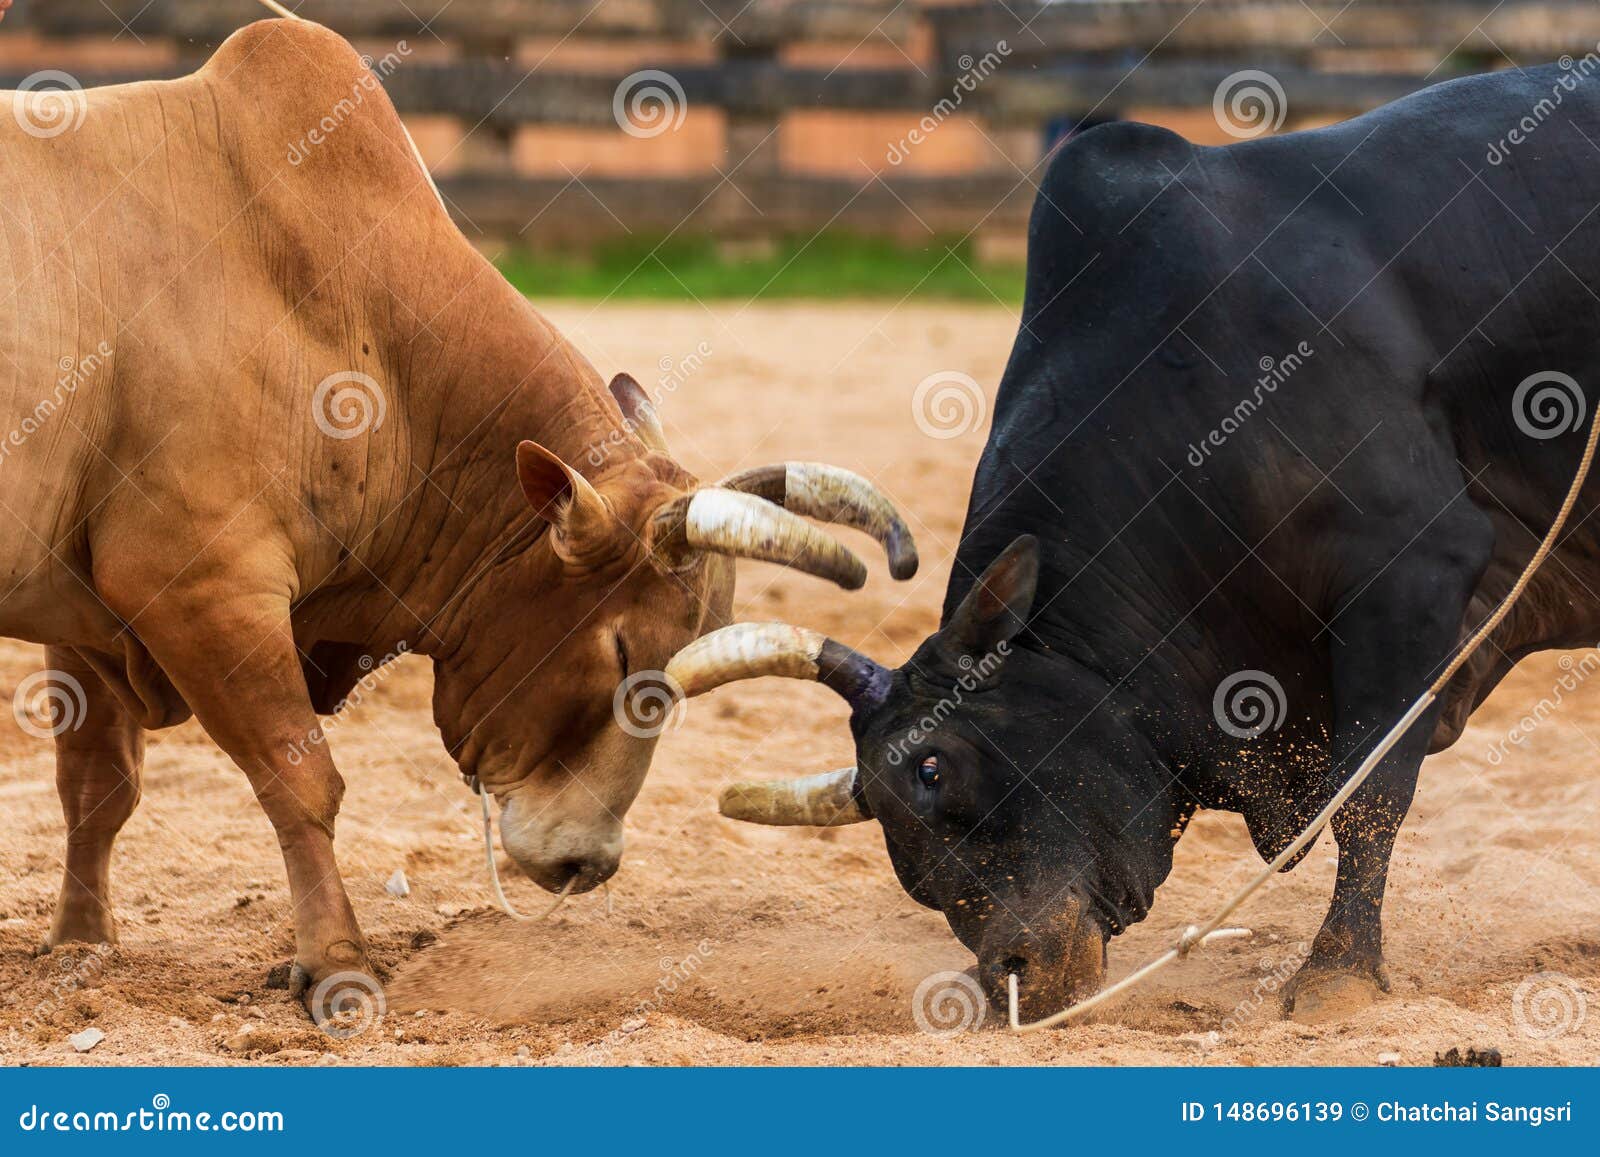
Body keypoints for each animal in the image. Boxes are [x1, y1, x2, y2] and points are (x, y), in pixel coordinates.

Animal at [0, 18, 916, 1019]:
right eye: (624, 652)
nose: (590, 862)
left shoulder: (88, 605)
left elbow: (98, 785)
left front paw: (81, 942)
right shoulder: (201, 588)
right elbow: (301, 779)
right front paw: (337, 962)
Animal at [666, 61, 1600, 1025]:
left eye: (934, 765)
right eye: (886, 822)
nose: (1009, 973)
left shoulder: (1412, 571)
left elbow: (1368, 796)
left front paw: (1337, 972)